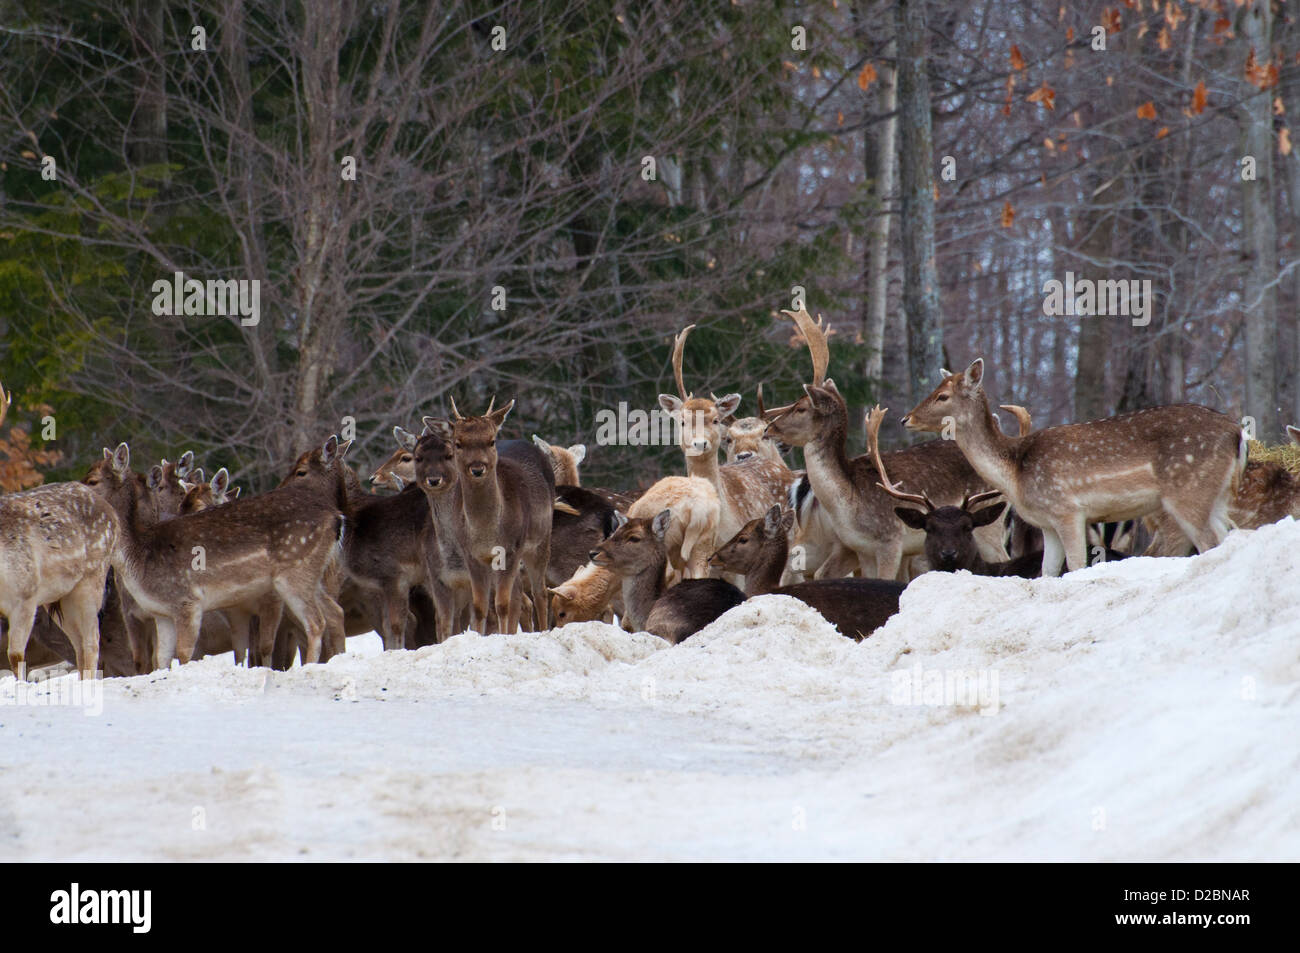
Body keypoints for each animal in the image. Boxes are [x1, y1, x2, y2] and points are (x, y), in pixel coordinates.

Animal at [0, 379, 121, 680]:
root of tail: (113, 515)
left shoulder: (25, 596)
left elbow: (16, 657)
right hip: (61, 597)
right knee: (78, 645)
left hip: (91, 578)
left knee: (91, 642)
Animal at [763, 309, 1008, 581]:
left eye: (801, 407)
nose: (768, 428)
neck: (849, 500)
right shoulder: (863, 550)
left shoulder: (890, 542)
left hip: (988, 525)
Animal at [901, 360, 1246, 575]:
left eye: (942, 395)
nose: (906, 418)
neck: (1015, 472)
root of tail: (1236, 432)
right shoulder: (1047, 523)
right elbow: (1047, 571)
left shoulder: (1068, 510)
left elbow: (1077, 565)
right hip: (1218, 495)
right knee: (1228, 536)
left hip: (1188, 492)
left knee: (1208, 542)